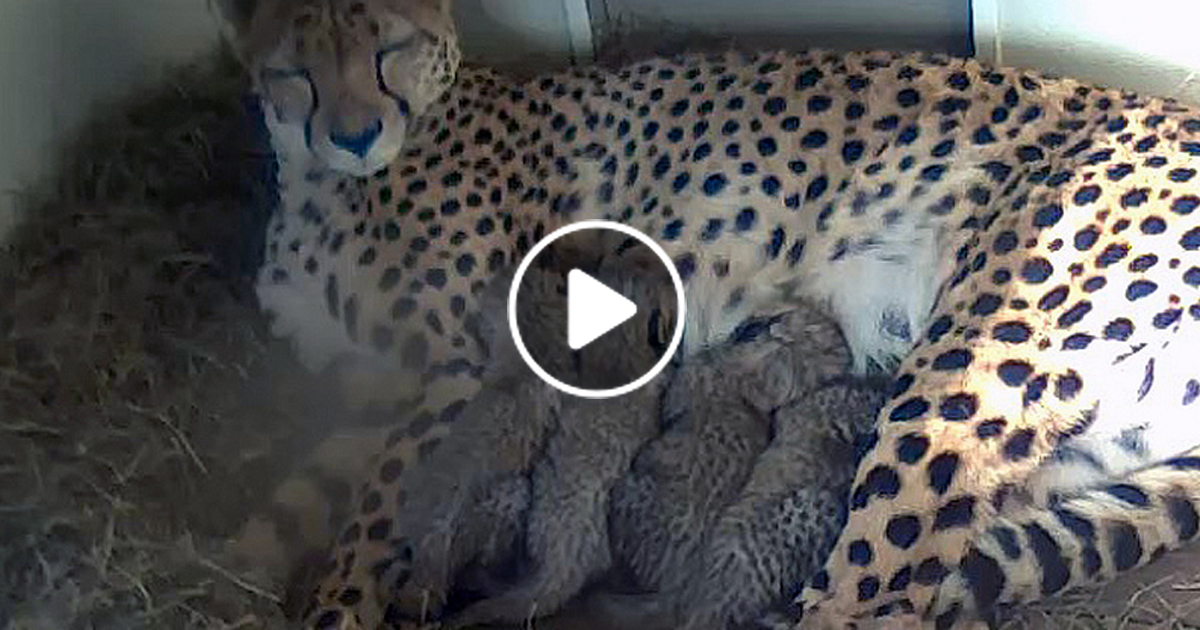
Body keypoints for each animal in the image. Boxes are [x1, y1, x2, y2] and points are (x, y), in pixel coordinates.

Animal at [213, 0, 1200, 627]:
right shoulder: (366, 393)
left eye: (387, 52)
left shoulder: (452, 372)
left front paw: (339, 605)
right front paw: (237, 560)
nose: (352, 134)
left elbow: (368, 516)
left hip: (977, 368)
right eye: (294, 71)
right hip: (1073, 449)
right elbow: (303, 495)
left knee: (862, 602)